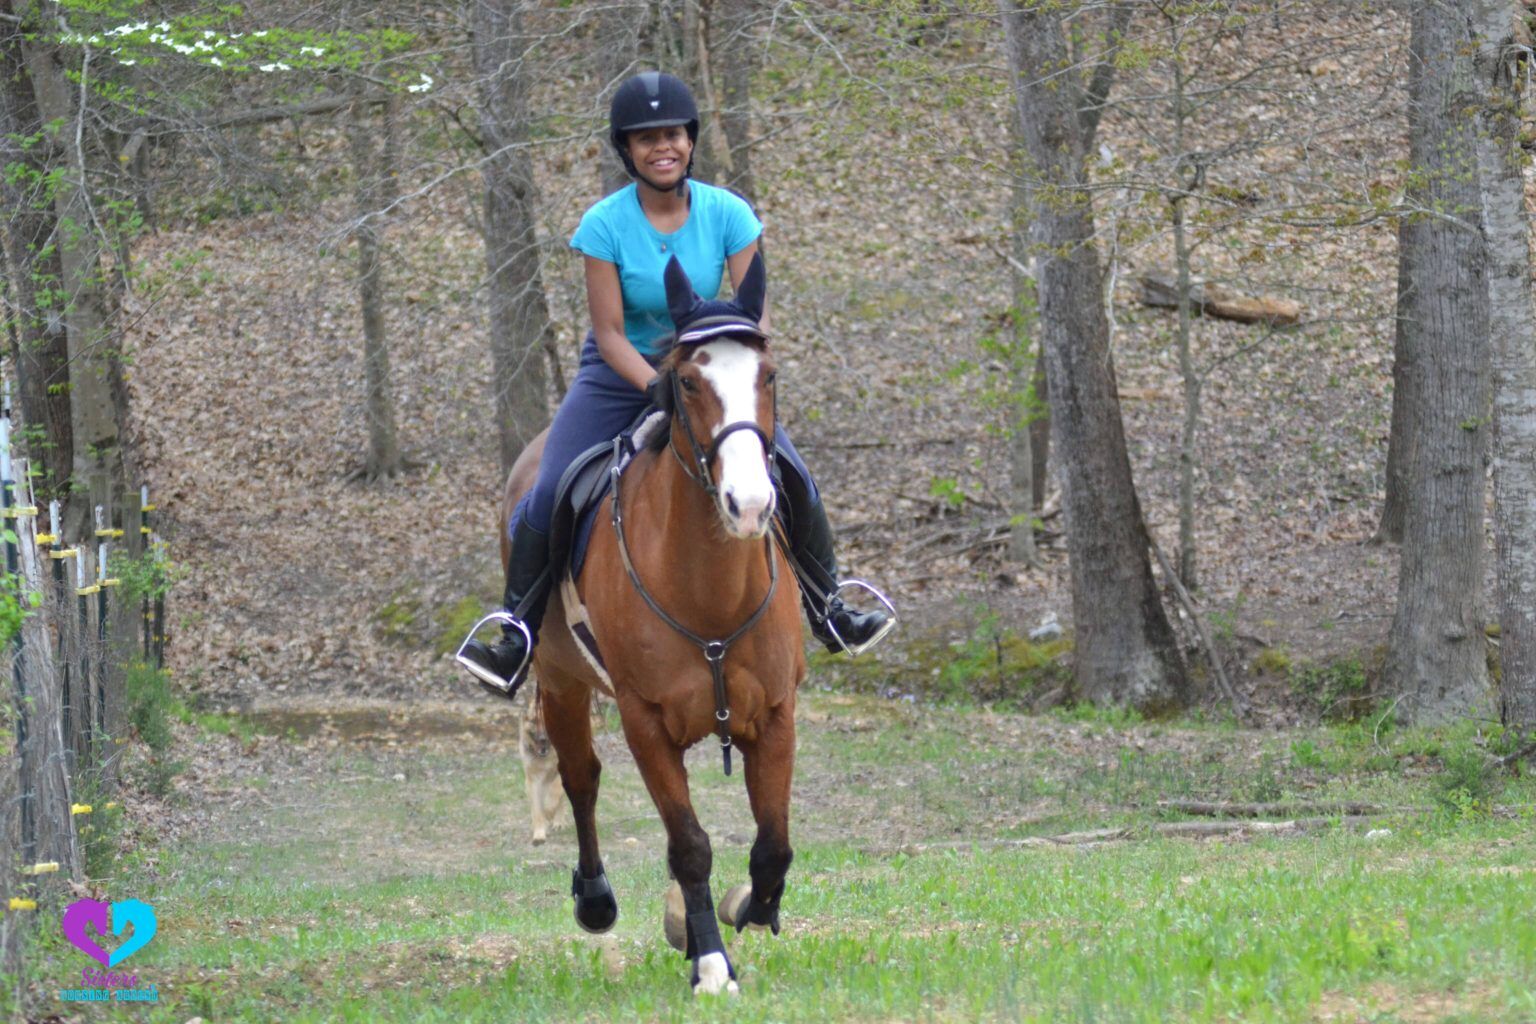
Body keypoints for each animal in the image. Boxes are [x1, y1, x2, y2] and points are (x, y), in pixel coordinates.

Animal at [497, 256, 805, 994]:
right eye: (689, 381)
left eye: (769, 375)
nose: (749, 504)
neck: (707, 591)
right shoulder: (646, 723)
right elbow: (689, 846)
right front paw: (712, 965)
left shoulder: (775, 714)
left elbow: (772, 845)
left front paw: (743, 913)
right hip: (561, 680)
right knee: (579, 778)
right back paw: (595, 899)